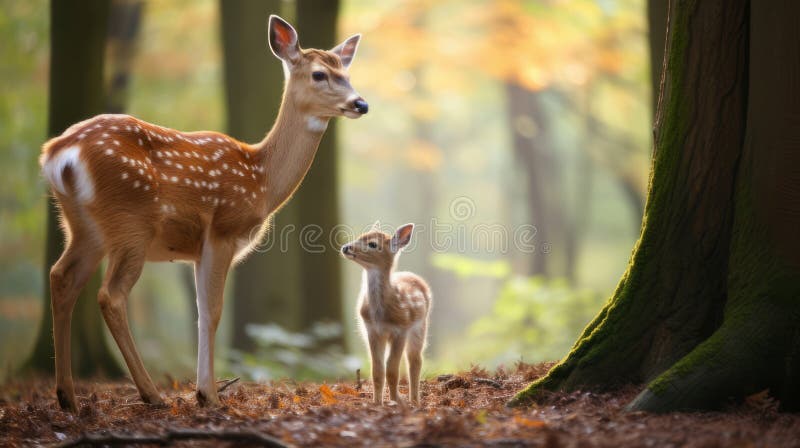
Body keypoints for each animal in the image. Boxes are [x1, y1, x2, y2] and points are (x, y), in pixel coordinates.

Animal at [39, 15, 368, 411]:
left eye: (346, 72)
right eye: (320, 74)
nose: (361, 103)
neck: (261, 179)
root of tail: (58, 153)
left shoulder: (196, 250)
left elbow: (200, 311)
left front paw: (202, 389)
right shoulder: (223, 230)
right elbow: (213, 312)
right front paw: (208, 394)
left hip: (82, 226)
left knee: (61, 276)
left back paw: (67, 397)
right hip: (130, 220)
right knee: (110, 295)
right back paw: (151, 394)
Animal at [341, 223, 432, 405]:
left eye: (373, 244)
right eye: (360, 236)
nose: (346, 247)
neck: (380, 315)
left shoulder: (401, 329)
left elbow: (392, 370)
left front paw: (396, 401)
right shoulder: (372, 331)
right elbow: (377, 370)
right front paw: (377, 403)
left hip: (420, 327)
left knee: (415, 360)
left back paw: (414, 401)